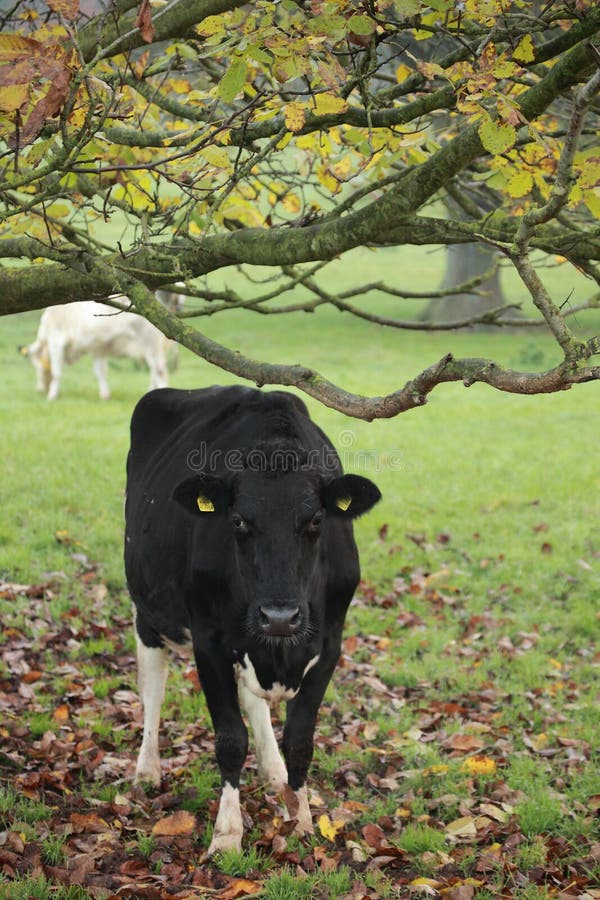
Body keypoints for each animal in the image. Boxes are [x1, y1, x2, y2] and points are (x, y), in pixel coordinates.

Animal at [21, 298, 170, 400]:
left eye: (37, 367)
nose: (40, 390)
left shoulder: (56, 340)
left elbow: (56, 372)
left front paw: (52, 396)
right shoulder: (97, 349)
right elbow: (100, 372)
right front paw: (105, 395)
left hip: (150, 343)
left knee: (160, 371)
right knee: (154, 372)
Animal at [124, 385, 381, 854]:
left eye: (316, 520)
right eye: (238, 520)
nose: (279, 615)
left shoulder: (329, 644)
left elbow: (299, 740)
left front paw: (301, 820)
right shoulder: (209, 642)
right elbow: (230, 739)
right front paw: (227, 833)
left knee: (253, 699)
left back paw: (273, 770)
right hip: (148, 610)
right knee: (152, 686)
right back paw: (147, 769)